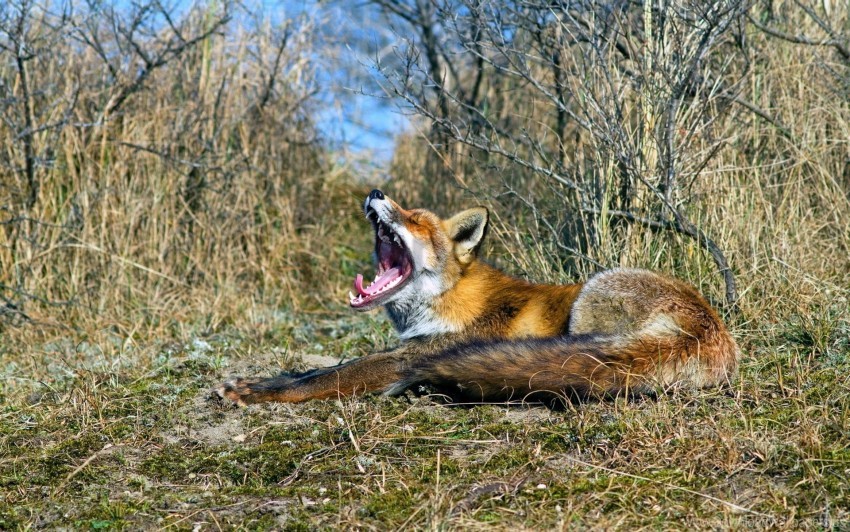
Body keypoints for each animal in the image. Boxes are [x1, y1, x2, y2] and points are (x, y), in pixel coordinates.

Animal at [218, 189, 738, 405]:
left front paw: (261, 392)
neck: (443, 302)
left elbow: (327, 376)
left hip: (592, 295)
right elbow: (318, 368)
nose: (375, 191)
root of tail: (705, 330)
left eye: (417, 220)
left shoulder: (412, 355)